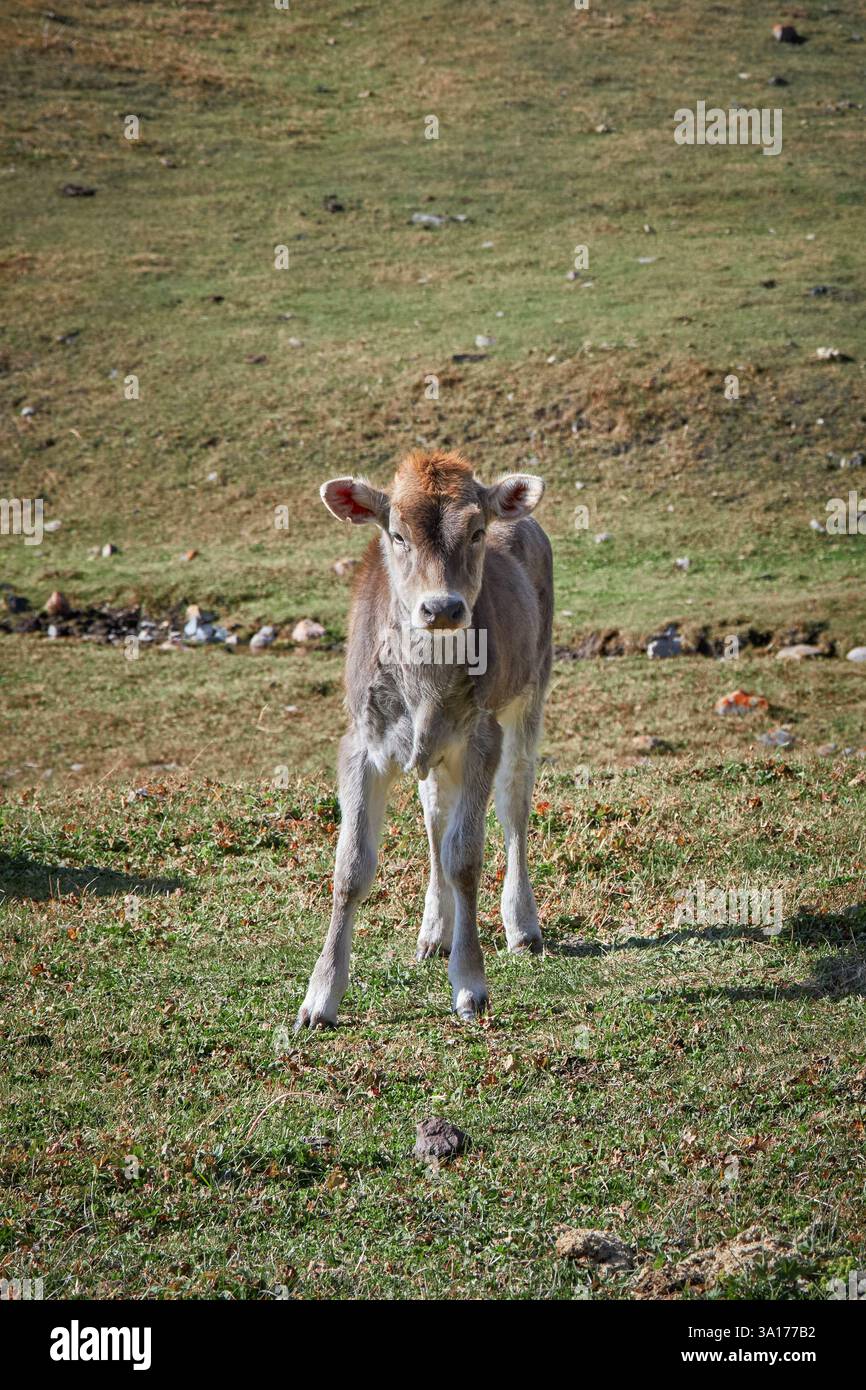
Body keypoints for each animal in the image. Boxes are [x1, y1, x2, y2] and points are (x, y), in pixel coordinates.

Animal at [296, 448, 553, 1029]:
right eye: (396, 534)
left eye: (477, 531)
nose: (442, 608)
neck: (425, 690)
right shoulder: (361, 742)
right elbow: (351, 866)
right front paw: (319, 999)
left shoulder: (482, 735)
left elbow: (466, 856)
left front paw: (471, 985)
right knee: (435, 811)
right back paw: (434, 931)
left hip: (531, 694)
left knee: (514, 803)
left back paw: (521, 925)